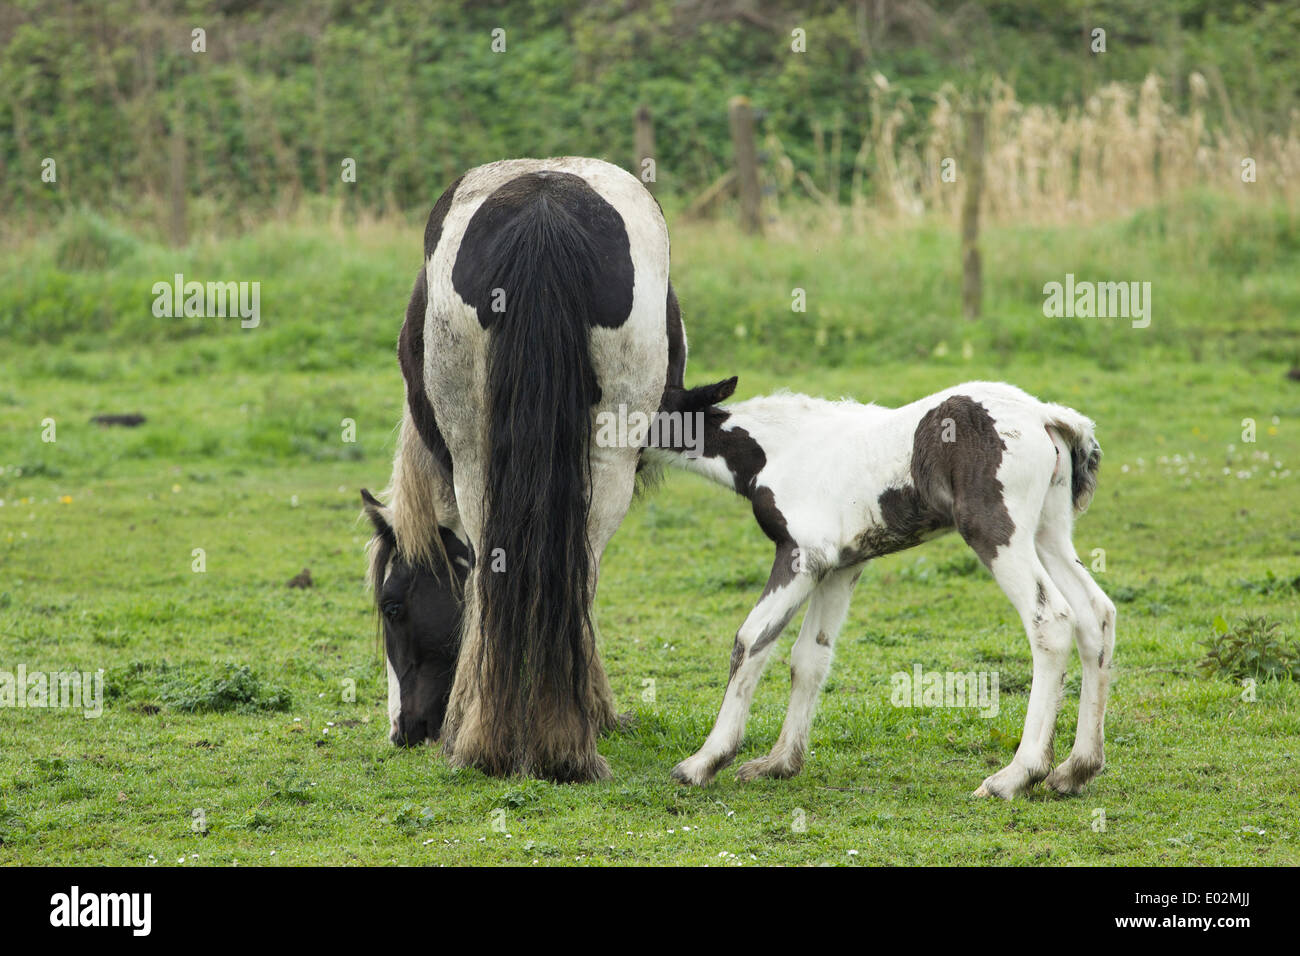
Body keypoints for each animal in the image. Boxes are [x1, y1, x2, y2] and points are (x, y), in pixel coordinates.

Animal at [365, 157, 688, 782]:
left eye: (392, 606)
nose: (403, 731)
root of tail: (543, 211)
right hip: (603, 464)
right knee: (578, 568)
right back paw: (561, 738)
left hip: (478, 461)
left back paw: (489, 737)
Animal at [645, 379, 1115, 799]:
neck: (779, 451)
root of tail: (1044, 414)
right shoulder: (840, 566)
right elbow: (810, 657)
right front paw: (778, 763)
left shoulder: (800, 557)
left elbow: (751, 639)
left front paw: (703, 762)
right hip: (1049, 531)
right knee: (1096, 613)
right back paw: (1076, 769)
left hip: (997, 532)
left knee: (1051, 620)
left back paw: (1015, 776)